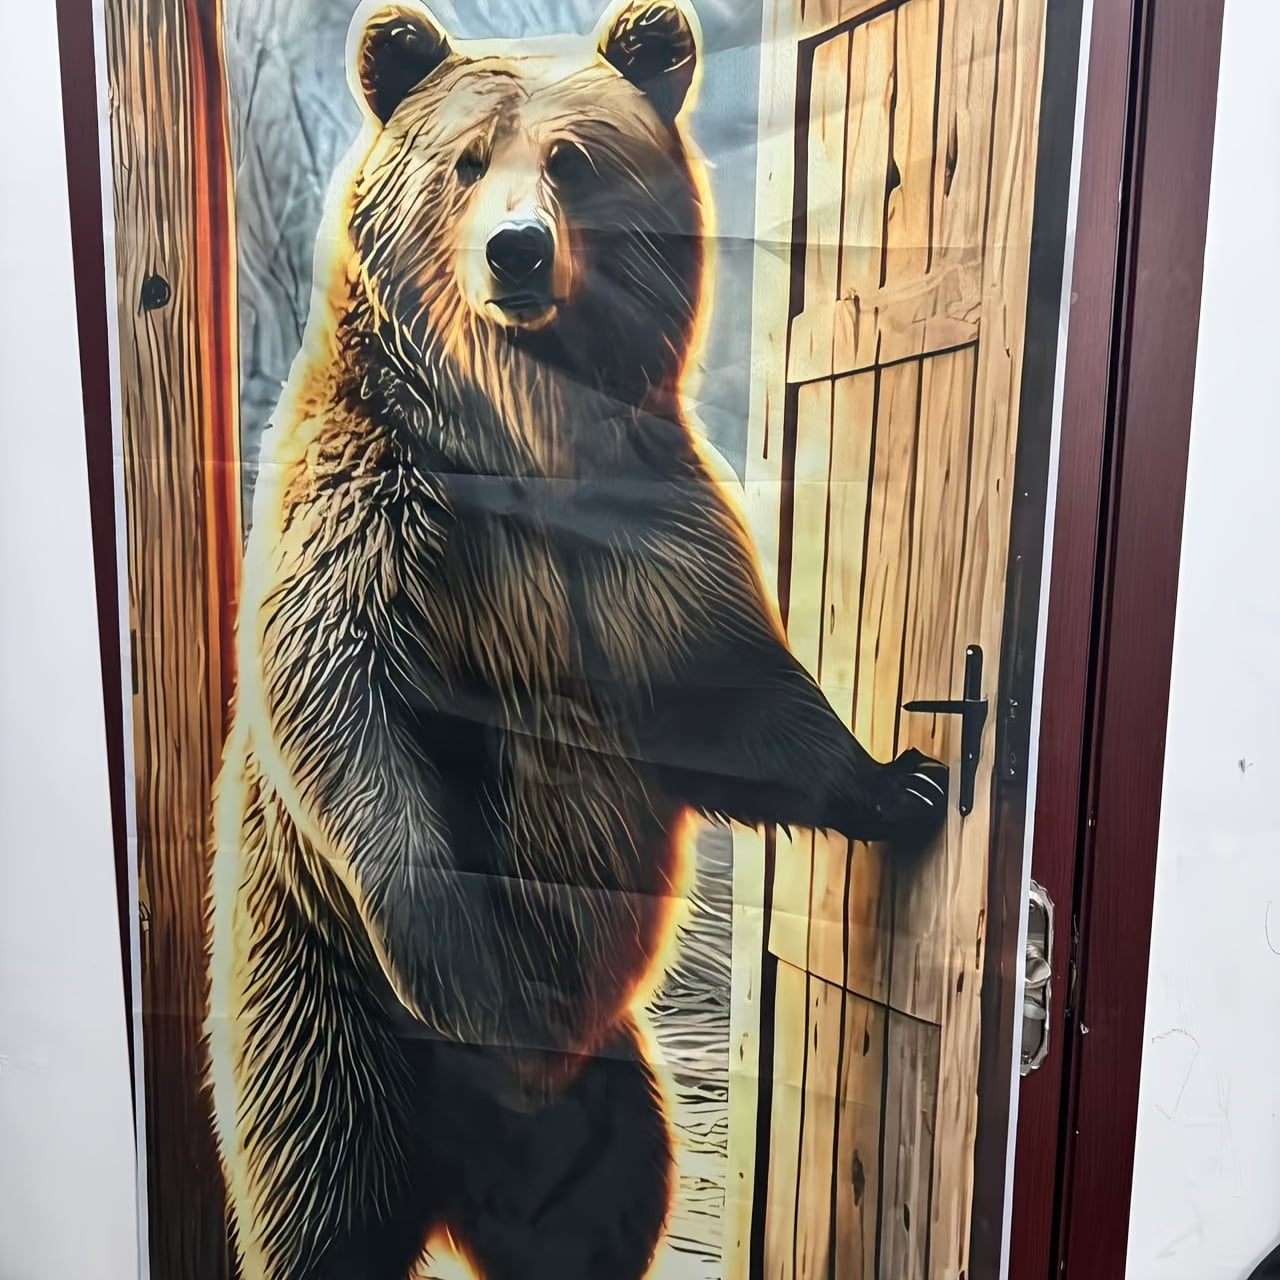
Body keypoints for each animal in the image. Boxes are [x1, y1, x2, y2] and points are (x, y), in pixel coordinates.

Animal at [206, 3, 949, 1278]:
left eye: (569, 160)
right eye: (464, 163)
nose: (515, 251)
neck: (520, 428)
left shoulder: (639, 530)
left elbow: (720, 693)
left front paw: (900, 780)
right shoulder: (372, 513)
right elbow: (349, 712)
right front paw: (474, 979)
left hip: (608, 1096)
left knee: (603, 1212)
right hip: (328, 1022)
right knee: (327, 1197)